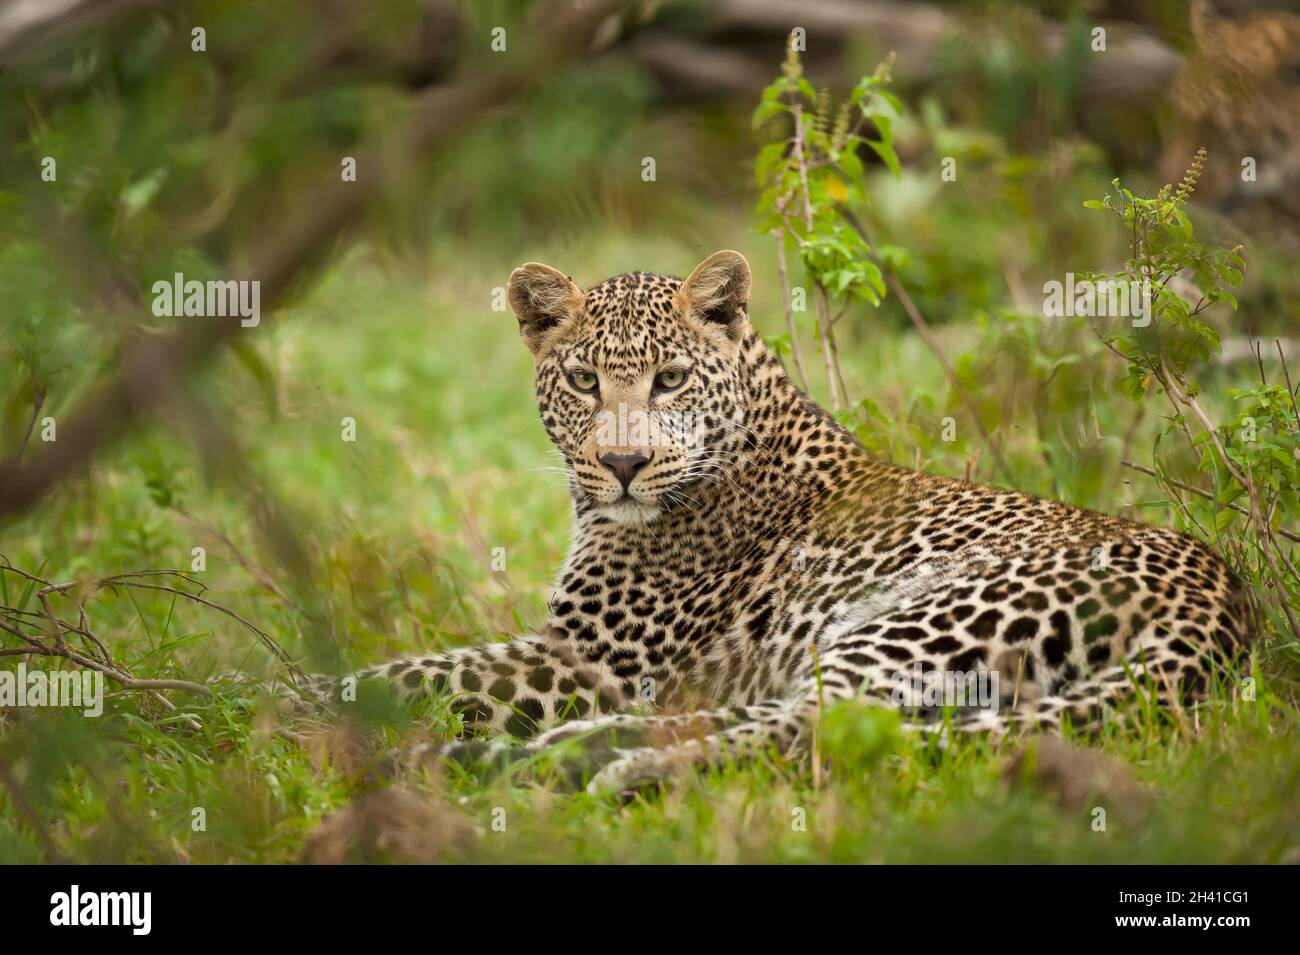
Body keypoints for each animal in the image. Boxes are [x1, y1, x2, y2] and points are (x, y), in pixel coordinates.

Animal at [303, 249, 1253, 793]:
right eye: (582, 381)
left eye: (670, 379)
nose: (623, 463)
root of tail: (1225, 604)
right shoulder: (590, 660)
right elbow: (413, 668)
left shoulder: (594, 661)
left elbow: (409, 673)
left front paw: (280, 703)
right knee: (794, 715)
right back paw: (541, 758)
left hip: (918, 618)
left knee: (815, 729)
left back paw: (613, 771)